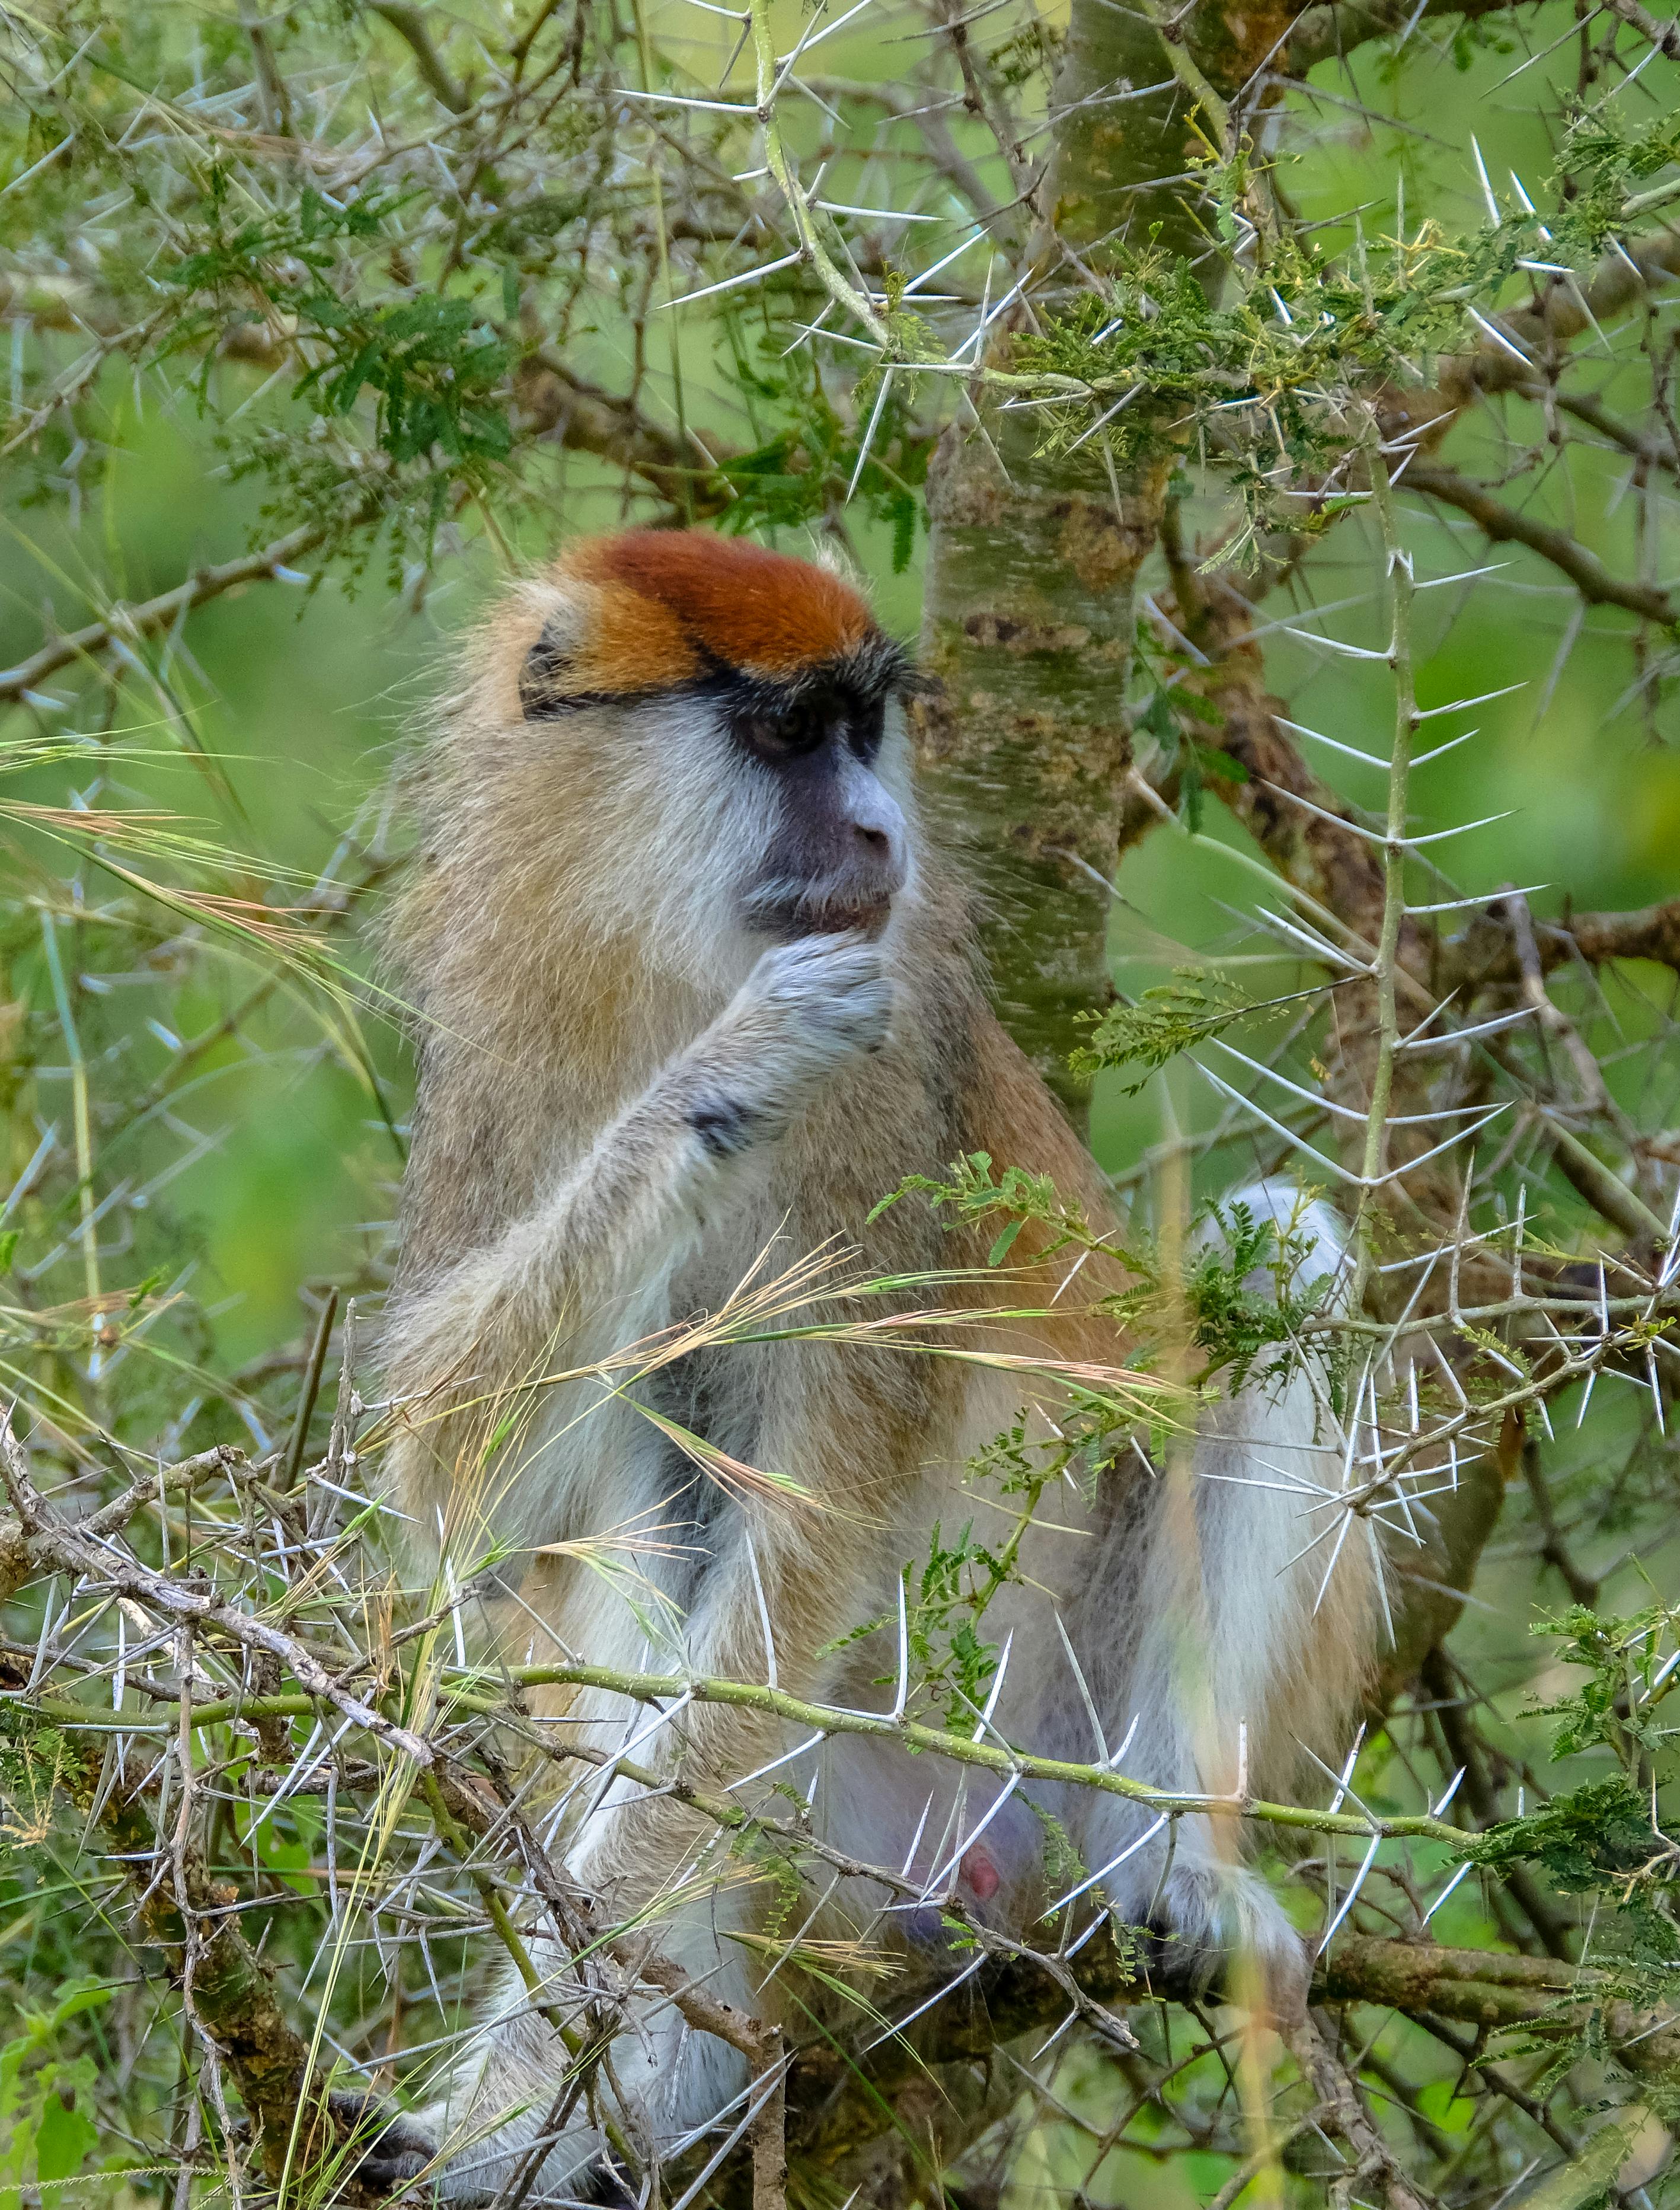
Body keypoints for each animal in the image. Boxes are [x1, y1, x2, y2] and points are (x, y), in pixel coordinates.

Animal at [377, 529, 1376, 2203]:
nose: (876, 823)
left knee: (1281, 1259)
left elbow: (822, 1507)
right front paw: (723, 1075)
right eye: (789, 731)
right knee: (641, 1433)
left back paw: (1167, 1868)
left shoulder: (893, 1096)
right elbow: (459, 1475)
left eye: (864, 725)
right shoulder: (503, 1051)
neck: (679, 953)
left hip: (1045, 1754)